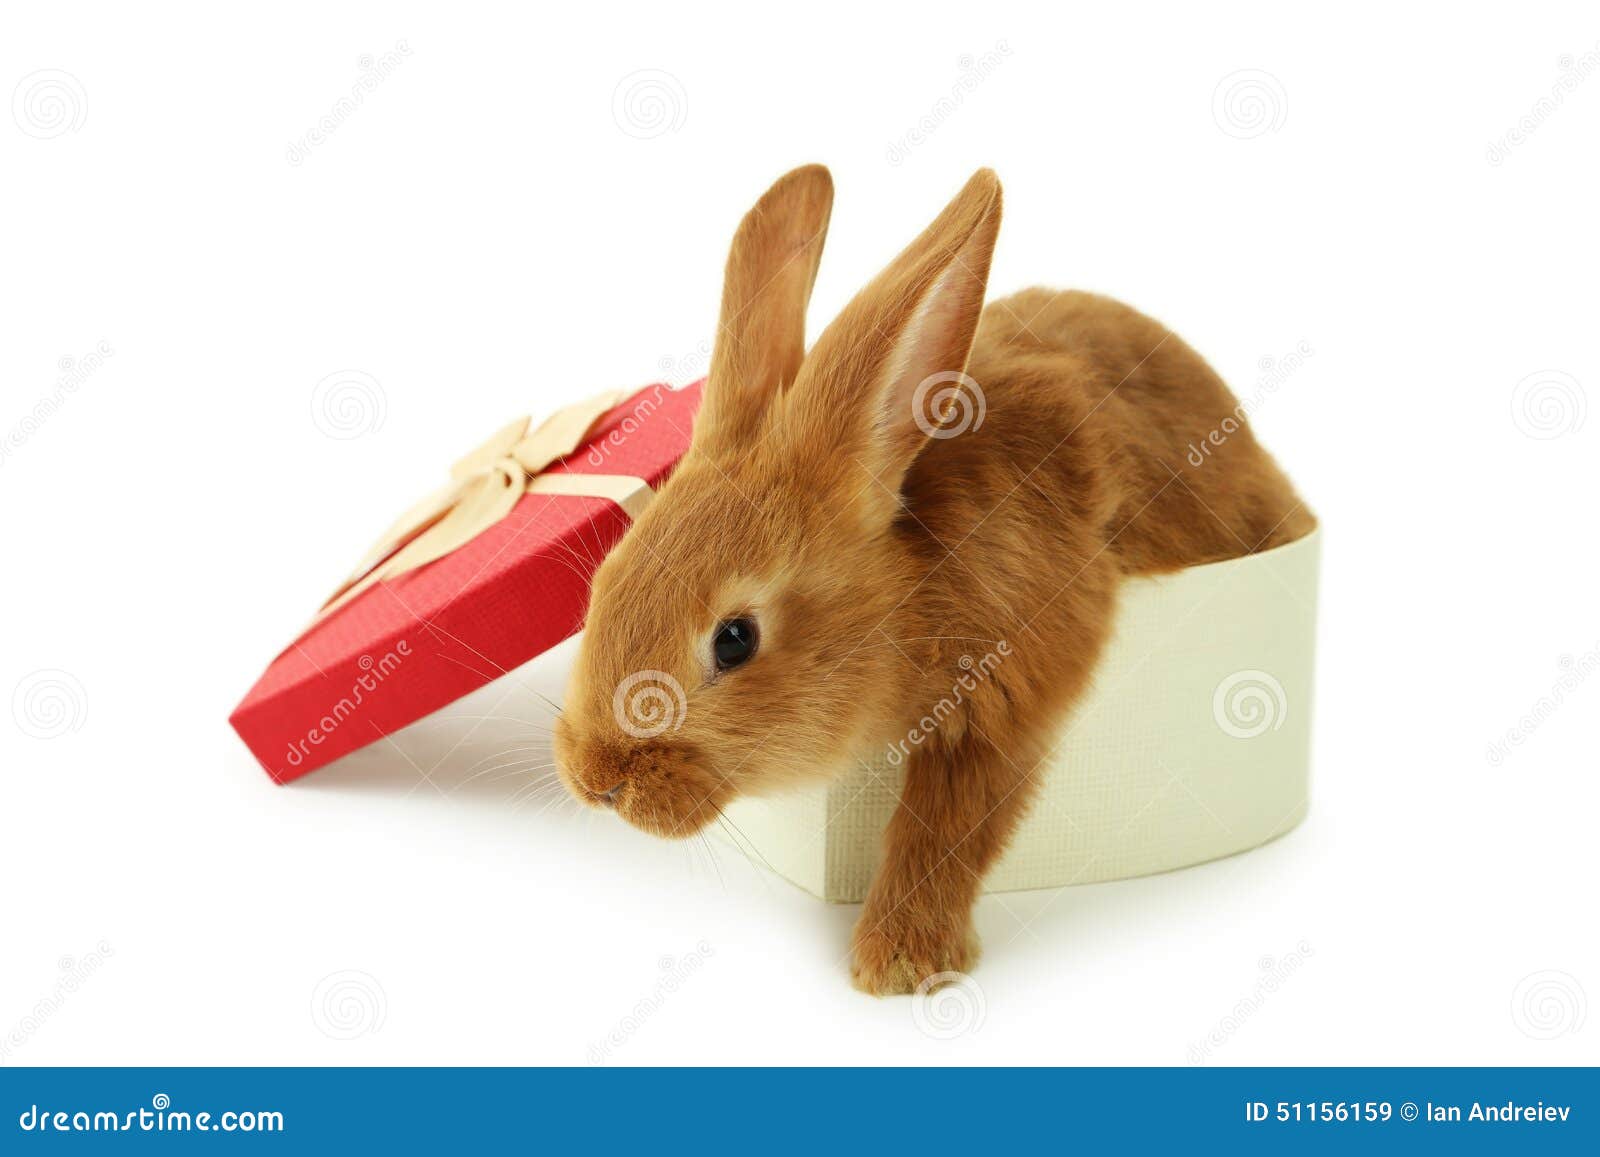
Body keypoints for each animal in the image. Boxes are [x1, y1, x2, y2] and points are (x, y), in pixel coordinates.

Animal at [553, 164, 1315, 995]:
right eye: (603, 582)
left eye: (734, 640)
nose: (594, 778)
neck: (908, 588)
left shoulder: (1006, 692)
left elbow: (948, 825)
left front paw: (899, 961)